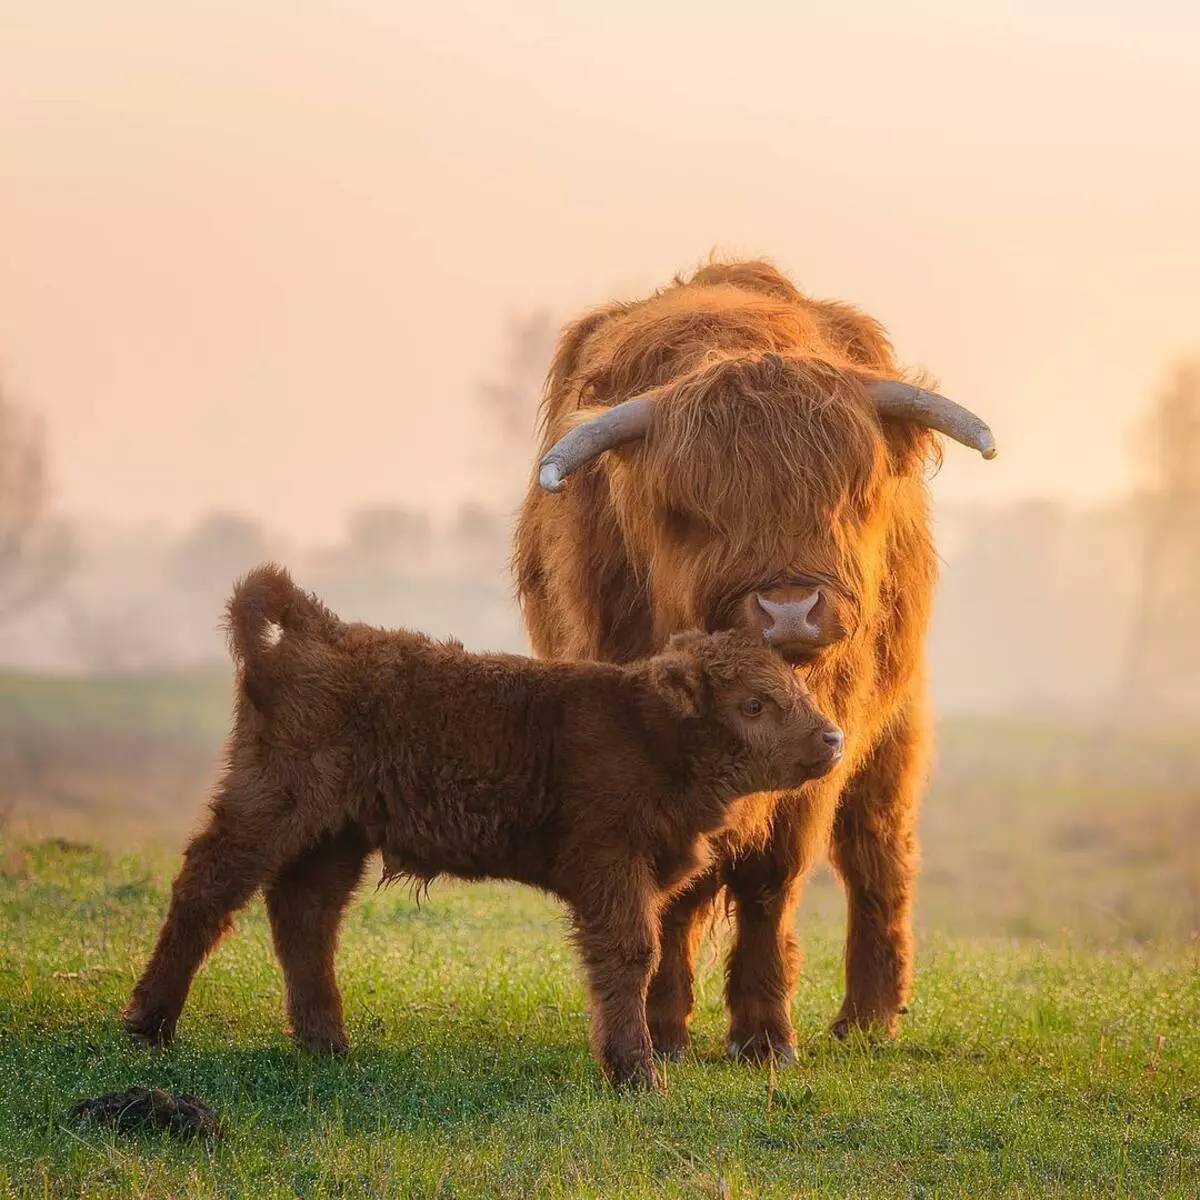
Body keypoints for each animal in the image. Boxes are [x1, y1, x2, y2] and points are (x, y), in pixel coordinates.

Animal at [119, 561, 835, 1089]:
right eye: (753, 704)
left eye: (798, 690)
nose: (831, 738)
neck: (650, 727)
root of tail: (319, 629)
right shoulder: (611, 867)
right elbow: (631, 954)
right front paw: (637, 1074)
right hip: (271, 805)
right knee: (207, 888)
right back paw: (149, 1025)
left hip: (337, 836)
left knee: (305, 917)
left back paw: (328, 1045)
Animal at [513, 260, 993, 1060]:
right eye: (692, 513)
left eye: (848, 498)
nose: (789, 609)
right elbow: (672, 894)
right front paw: (662, 1027)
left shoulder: (821, 748)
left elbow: (773, 879)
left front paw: (765, 1034)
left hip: (892, 734)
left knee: (877, 853)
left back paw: (869, 1018)